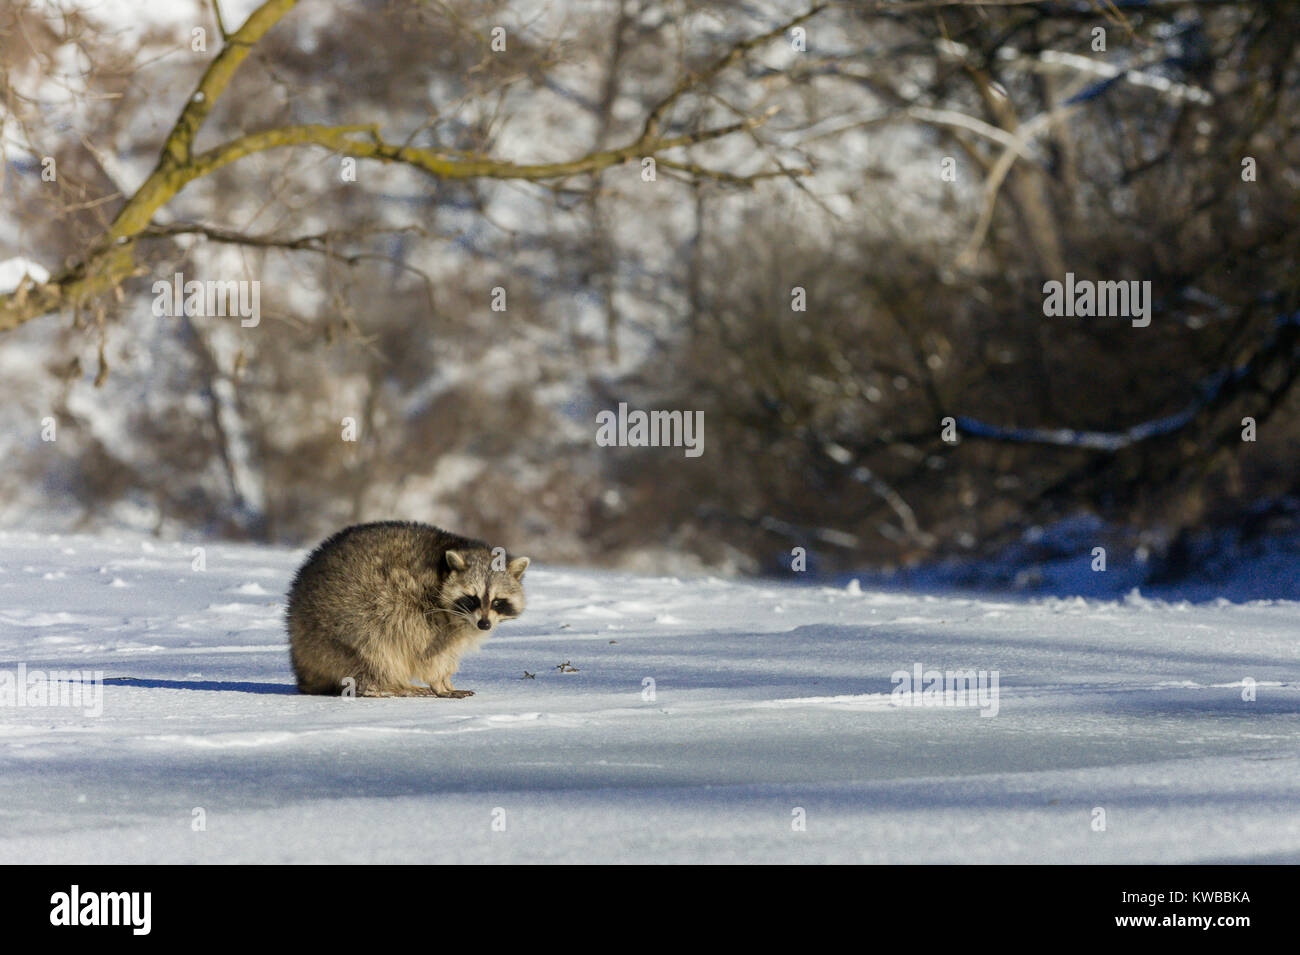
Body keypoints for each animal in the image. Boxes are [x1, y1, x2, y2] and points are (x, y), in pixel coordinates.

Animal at [286, 522, 528, 697]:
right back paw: (389, 686)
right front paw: (439, 683)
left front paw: (447, 681)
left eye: (497, 602)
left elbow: (449, 654)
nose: (484, 624)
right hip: (346, 622)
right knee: (375, 653)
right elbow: (429, 656)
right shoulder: (426, 619)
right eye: (472, 599)